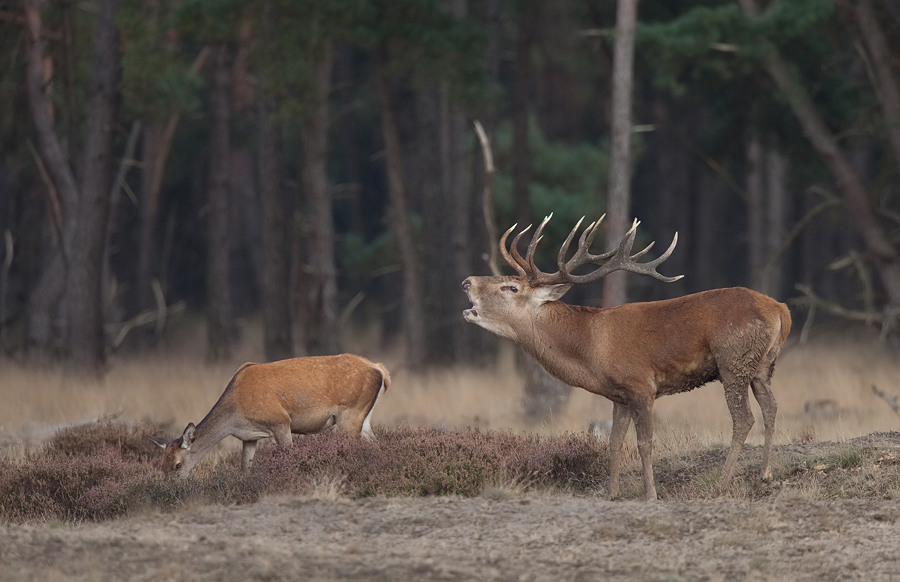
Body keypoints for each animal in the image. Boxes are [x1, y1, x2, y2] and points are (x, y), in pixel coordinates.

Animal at [150, 354, 391, 478]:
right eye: (161, 464)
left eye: (177, 465)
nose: (169, 489)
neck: (235, 417)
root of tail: (380, 369)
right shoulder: (249, 437)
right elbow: (245, 468)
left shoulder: (280, 422)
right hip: (364, 418)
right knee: (377, 446)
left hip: (350, 415)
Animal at [461, 214, 791, 501]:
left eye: (511, 287)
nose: (467, 282)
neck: (591, 348)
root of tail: (781, 309)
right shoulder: (618, 395)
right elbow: (614, 443)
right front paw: (612, 493)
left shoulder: (641, 385)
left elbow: (644, 443)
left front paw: (651, 495)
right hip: (762, 365)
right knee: (771, 407)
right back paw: (765, 474)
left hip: (733, 360)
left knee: (744, 418)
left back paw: (722, 483)